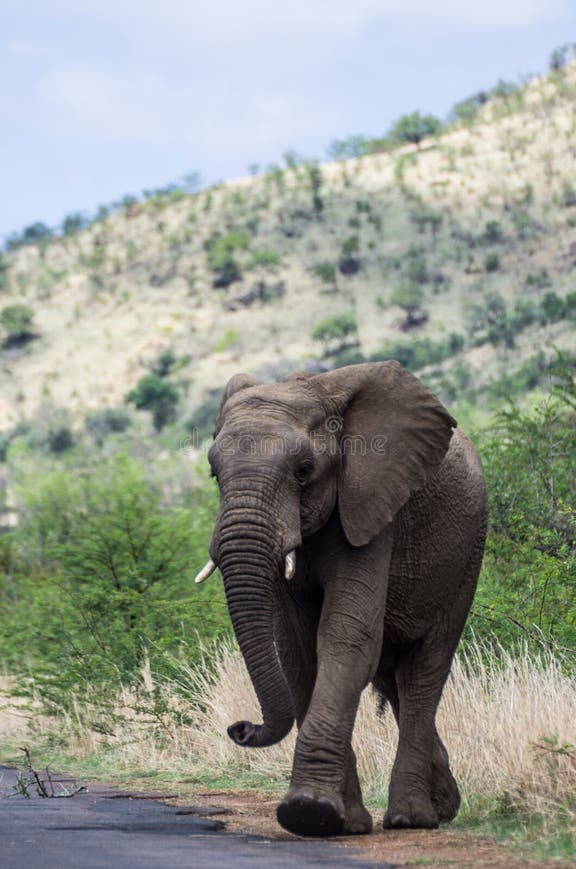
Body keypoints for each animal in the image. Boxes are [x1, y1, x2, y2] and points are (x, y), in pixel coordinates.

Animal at [195, 361, 487, 837]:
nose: (240, 728)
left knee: (424, 669)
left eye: (304, 470)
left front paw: (309, 813)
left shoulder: (372, 504)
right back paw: (443, 806)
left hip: (466, 557)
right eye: (215, 475)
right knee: (393, 677)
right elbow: (298, 649)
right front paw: (342, 821)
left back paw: (412, 818)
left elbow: (346, 637)